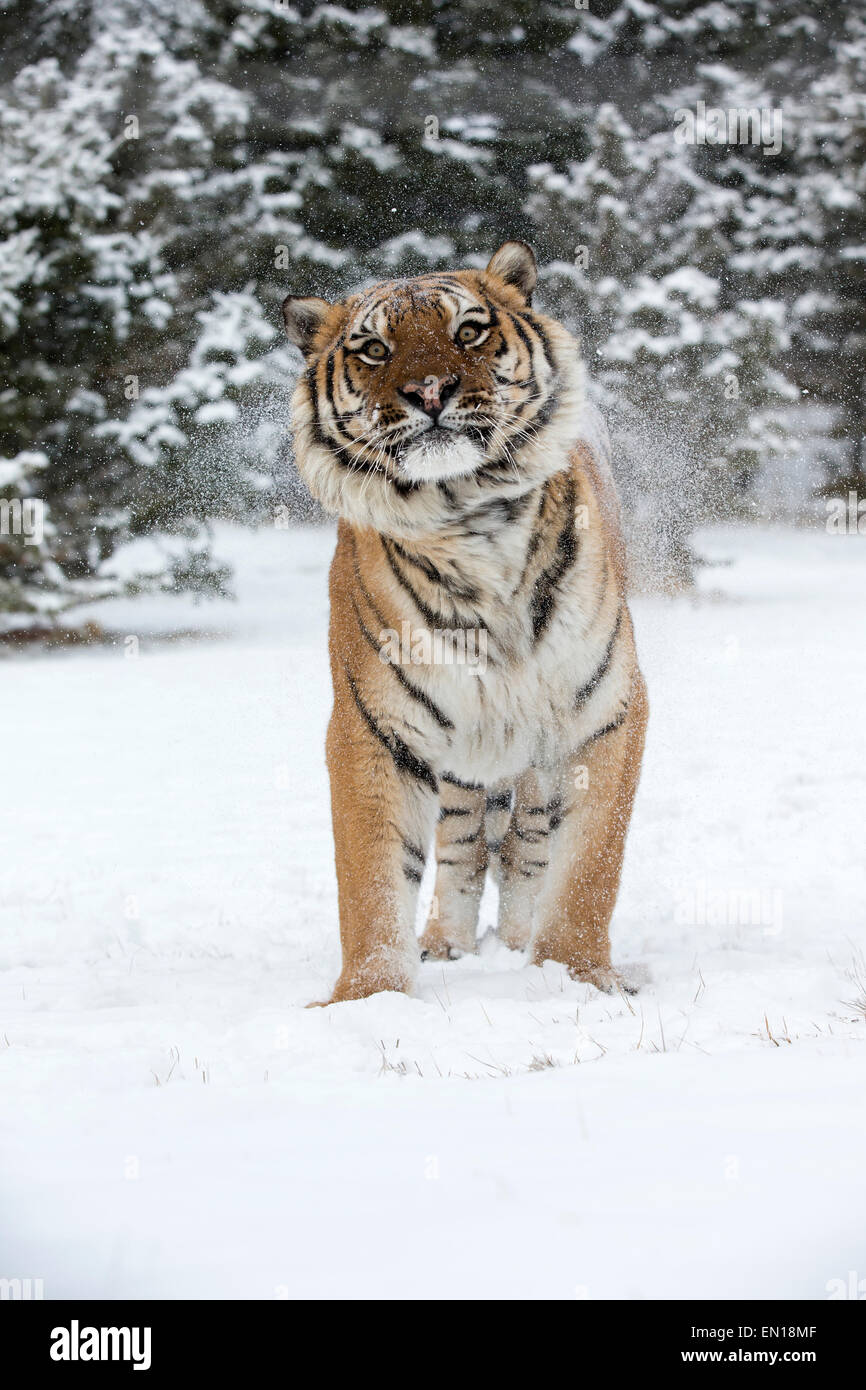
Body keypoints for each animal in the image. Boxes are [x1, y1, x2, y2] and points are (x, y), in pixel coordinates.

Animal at [283, 241, 648, 1005]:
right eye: (373, 348)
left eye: (470, 331)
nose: (429, 391)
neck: (472, 517)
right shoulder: (374, 729)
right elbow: (370, 881)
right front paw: (369, 1000)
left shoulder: (605, 711)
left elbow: (589, 867)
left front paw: (576, 977)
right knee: (461, 847)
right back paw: (445, 943)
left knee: (528, 847)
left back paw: (518, 942)